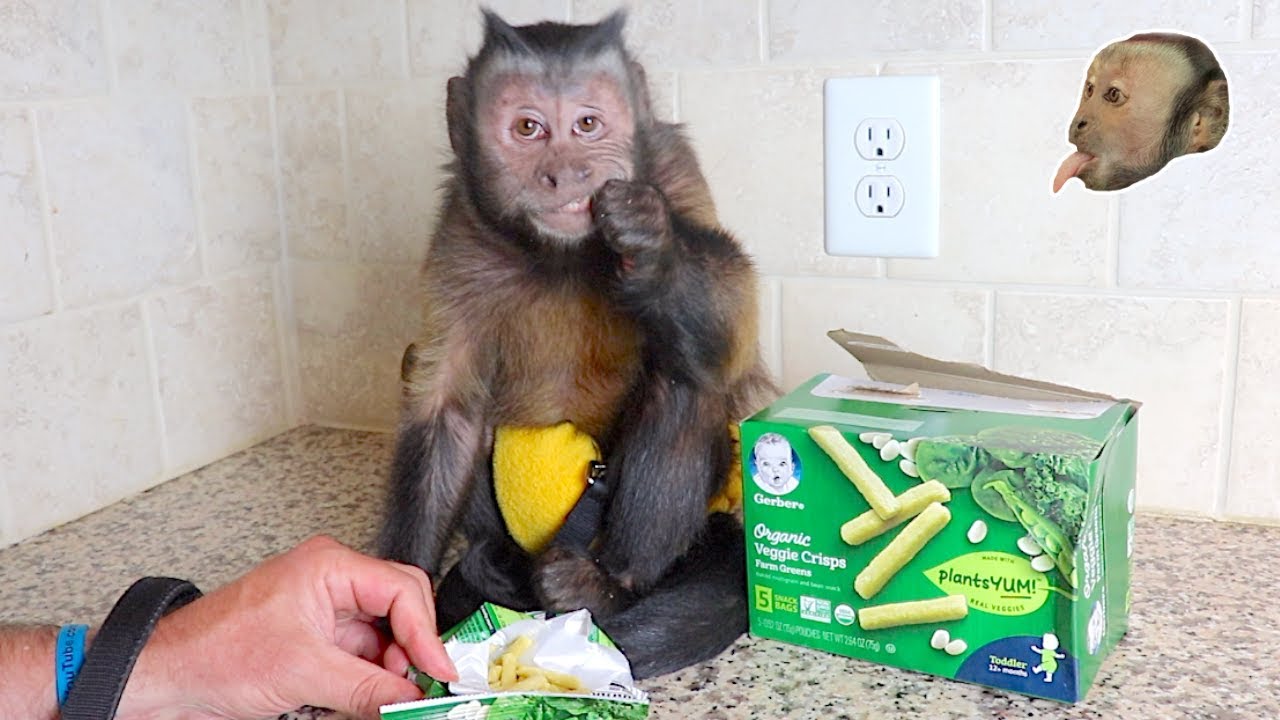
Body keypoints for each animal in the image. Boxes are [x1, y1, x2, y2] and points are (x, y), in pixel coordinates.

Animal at [378, 10, 776, 679]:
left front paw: (653, 249)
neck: (562, 253)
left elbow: (733, 331)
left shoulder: (672, 169)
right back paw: (492, 566)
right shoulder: (459, 231)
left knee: (688, 370)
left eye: (587, 124)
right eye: (528, 128)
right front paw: (392, 610)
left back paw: (609, 584)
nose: (565, 172)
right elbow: (448, 412)